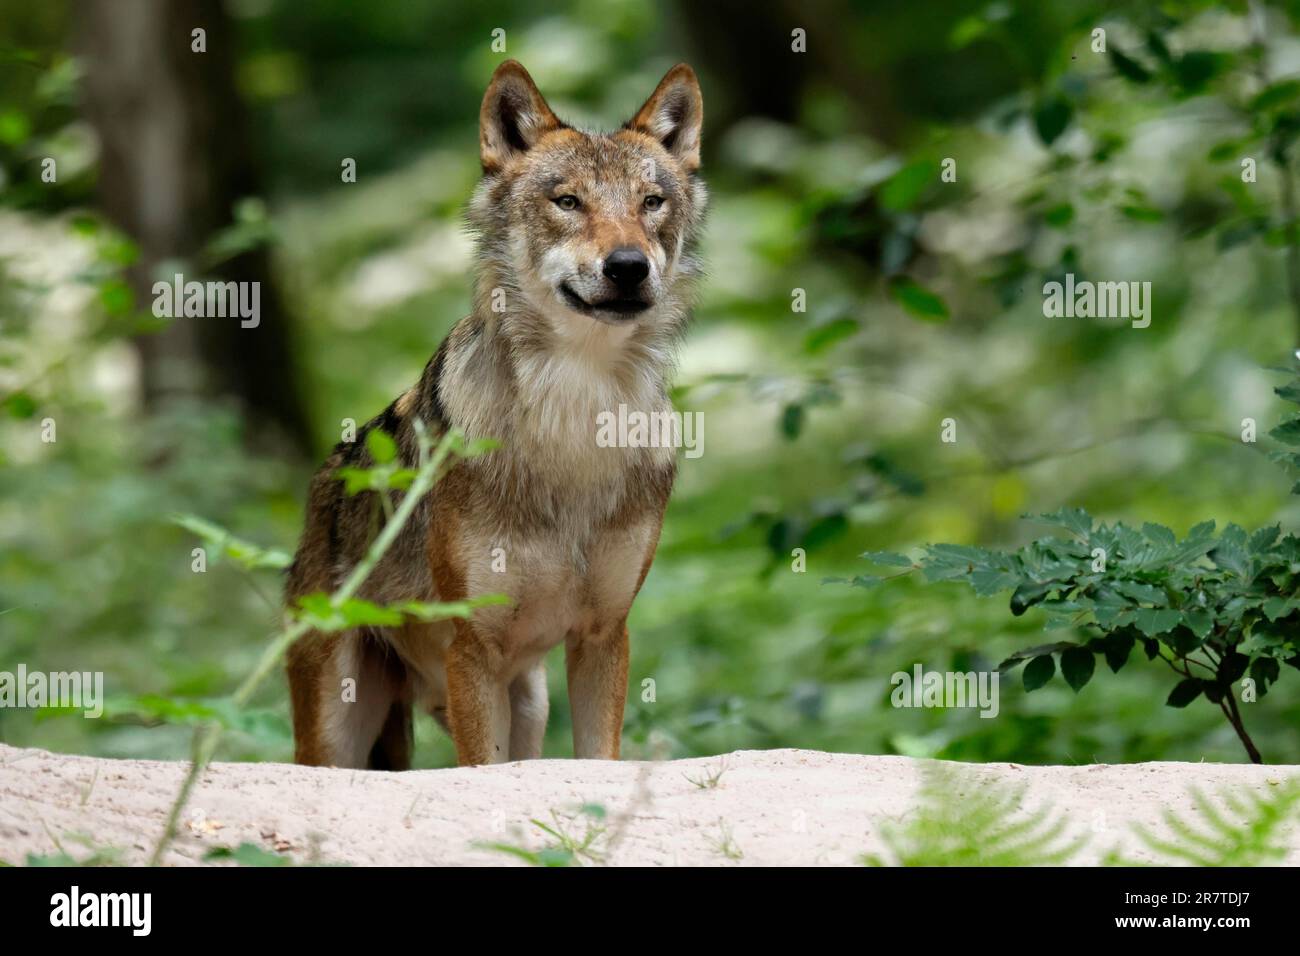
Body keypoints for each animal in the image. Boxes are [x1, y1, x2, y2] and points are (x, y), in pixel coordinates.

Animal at [285, 60, 705, 768]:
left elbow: (599, 757)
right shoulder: (472, 648)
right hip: (339, 728)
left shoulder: (603, 635)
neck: (578, 414)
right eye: (568, 202)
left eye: (651, 202)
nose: (628, 266)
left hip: (527, 700)